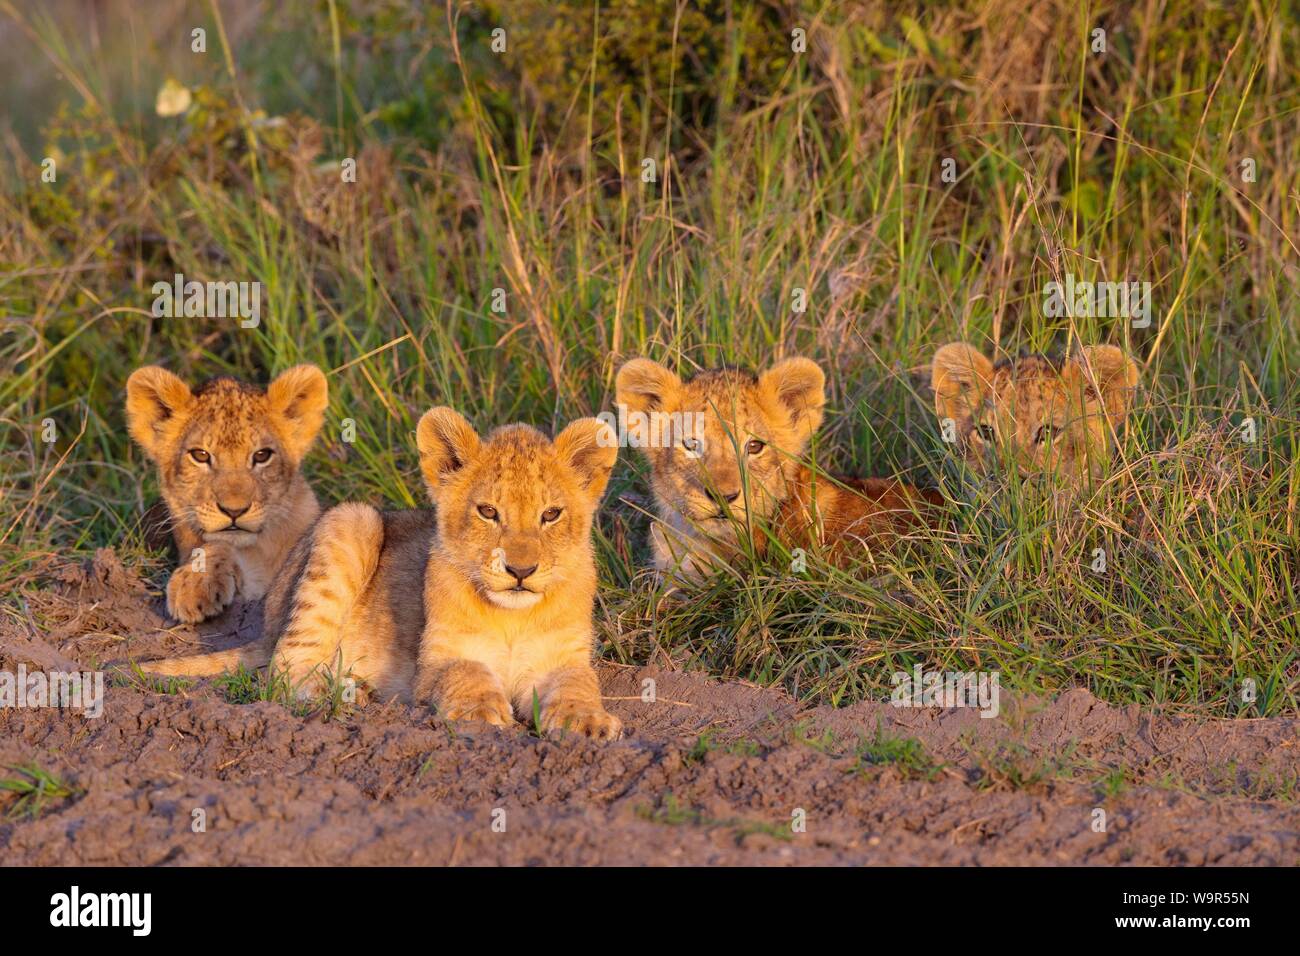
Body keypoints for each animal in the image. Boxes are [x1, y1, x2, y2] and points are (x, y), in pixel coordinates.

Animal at [137, 409, 623, 740]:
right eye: (488, 512)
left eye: (550, 515)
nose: (520, 570)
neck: (513, 616)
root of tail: (268, 621)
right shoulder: (435, 661)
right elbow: (467, 673)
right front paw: (481, 714)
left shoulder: (563, 658)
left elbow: (579, 685)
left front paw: (589, 722)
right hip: (353, 520)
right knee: (284, 668)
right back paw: (343, 694)